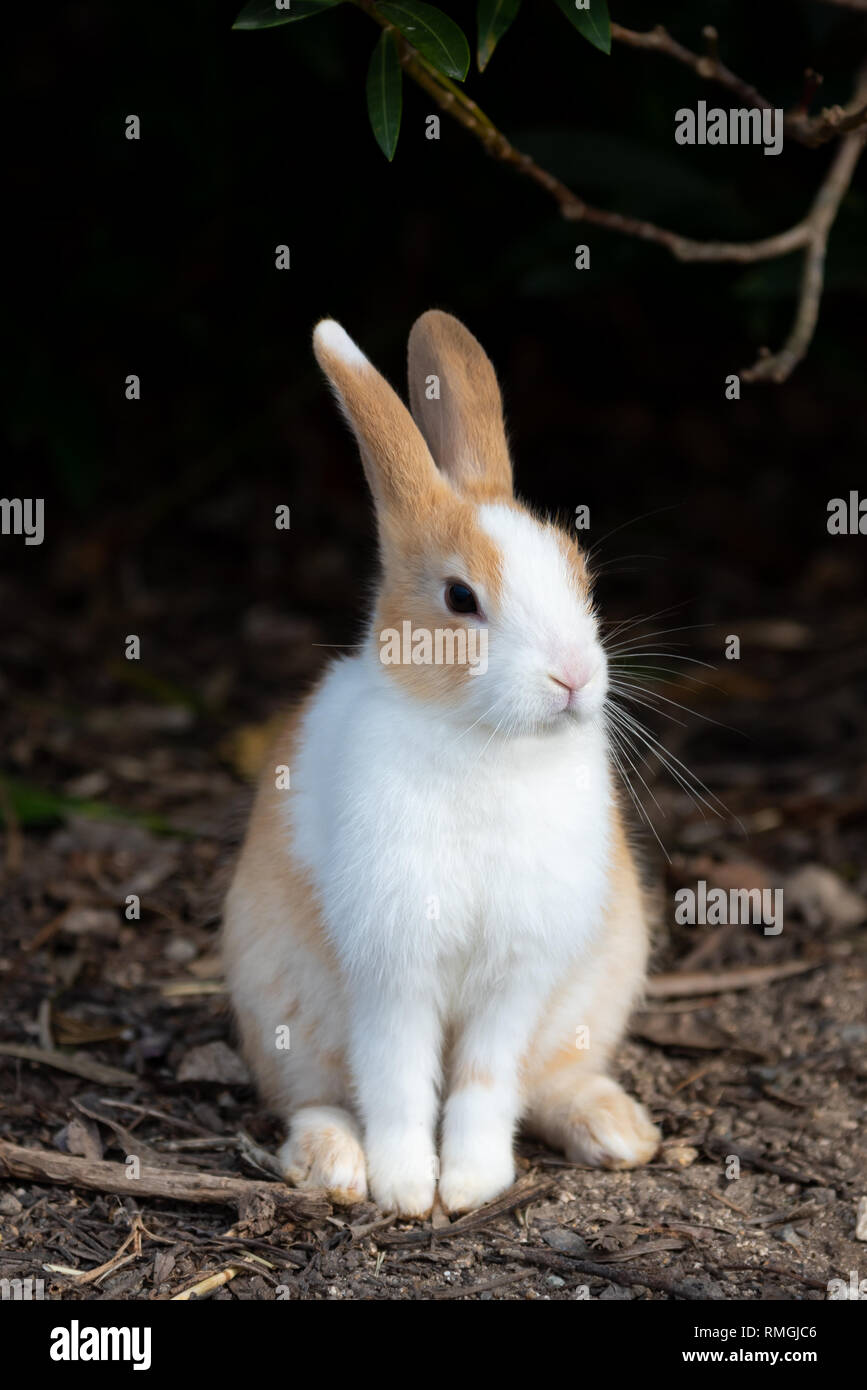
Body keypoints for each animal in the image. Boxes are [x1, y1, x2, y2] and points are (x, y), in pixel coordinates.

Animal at [222, 310, 660, 1217]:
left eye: (578, 573)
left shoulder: (518, 975)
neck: (483, 739)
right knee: (313, 1098)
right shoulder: (392, 969)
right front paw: (403, 1187)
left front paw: (468, 1183)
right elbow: (395, 1081)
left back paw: (617, 1133)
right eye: (461, 599)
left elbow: (486, 1082)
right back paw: (335, 1167)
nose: (573, 677)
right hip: (280, 1010)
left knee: (550, 1082)